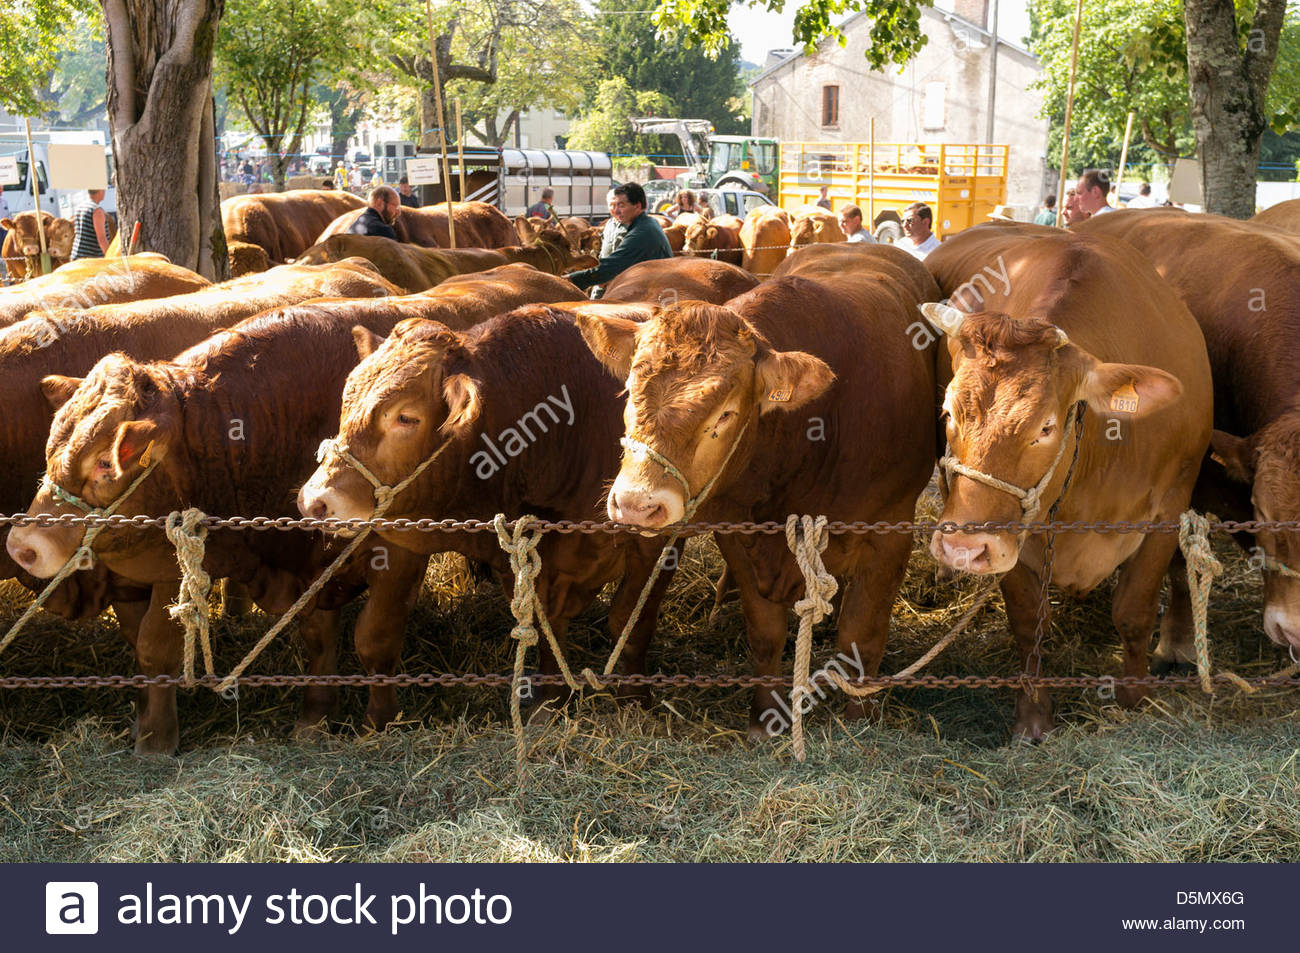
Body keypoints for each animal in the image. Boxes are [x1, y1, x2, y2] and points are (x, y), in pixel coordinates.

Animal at [921, 227, 1213, 739]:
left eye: (1045, 427)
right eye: (948, 412)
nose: (963, 548)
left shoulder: (1167, 511)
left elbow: (1133, 613)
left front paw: (1132, 700)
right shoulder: (1012, 539)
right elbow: (1026, 623)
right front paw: (1034, 718)